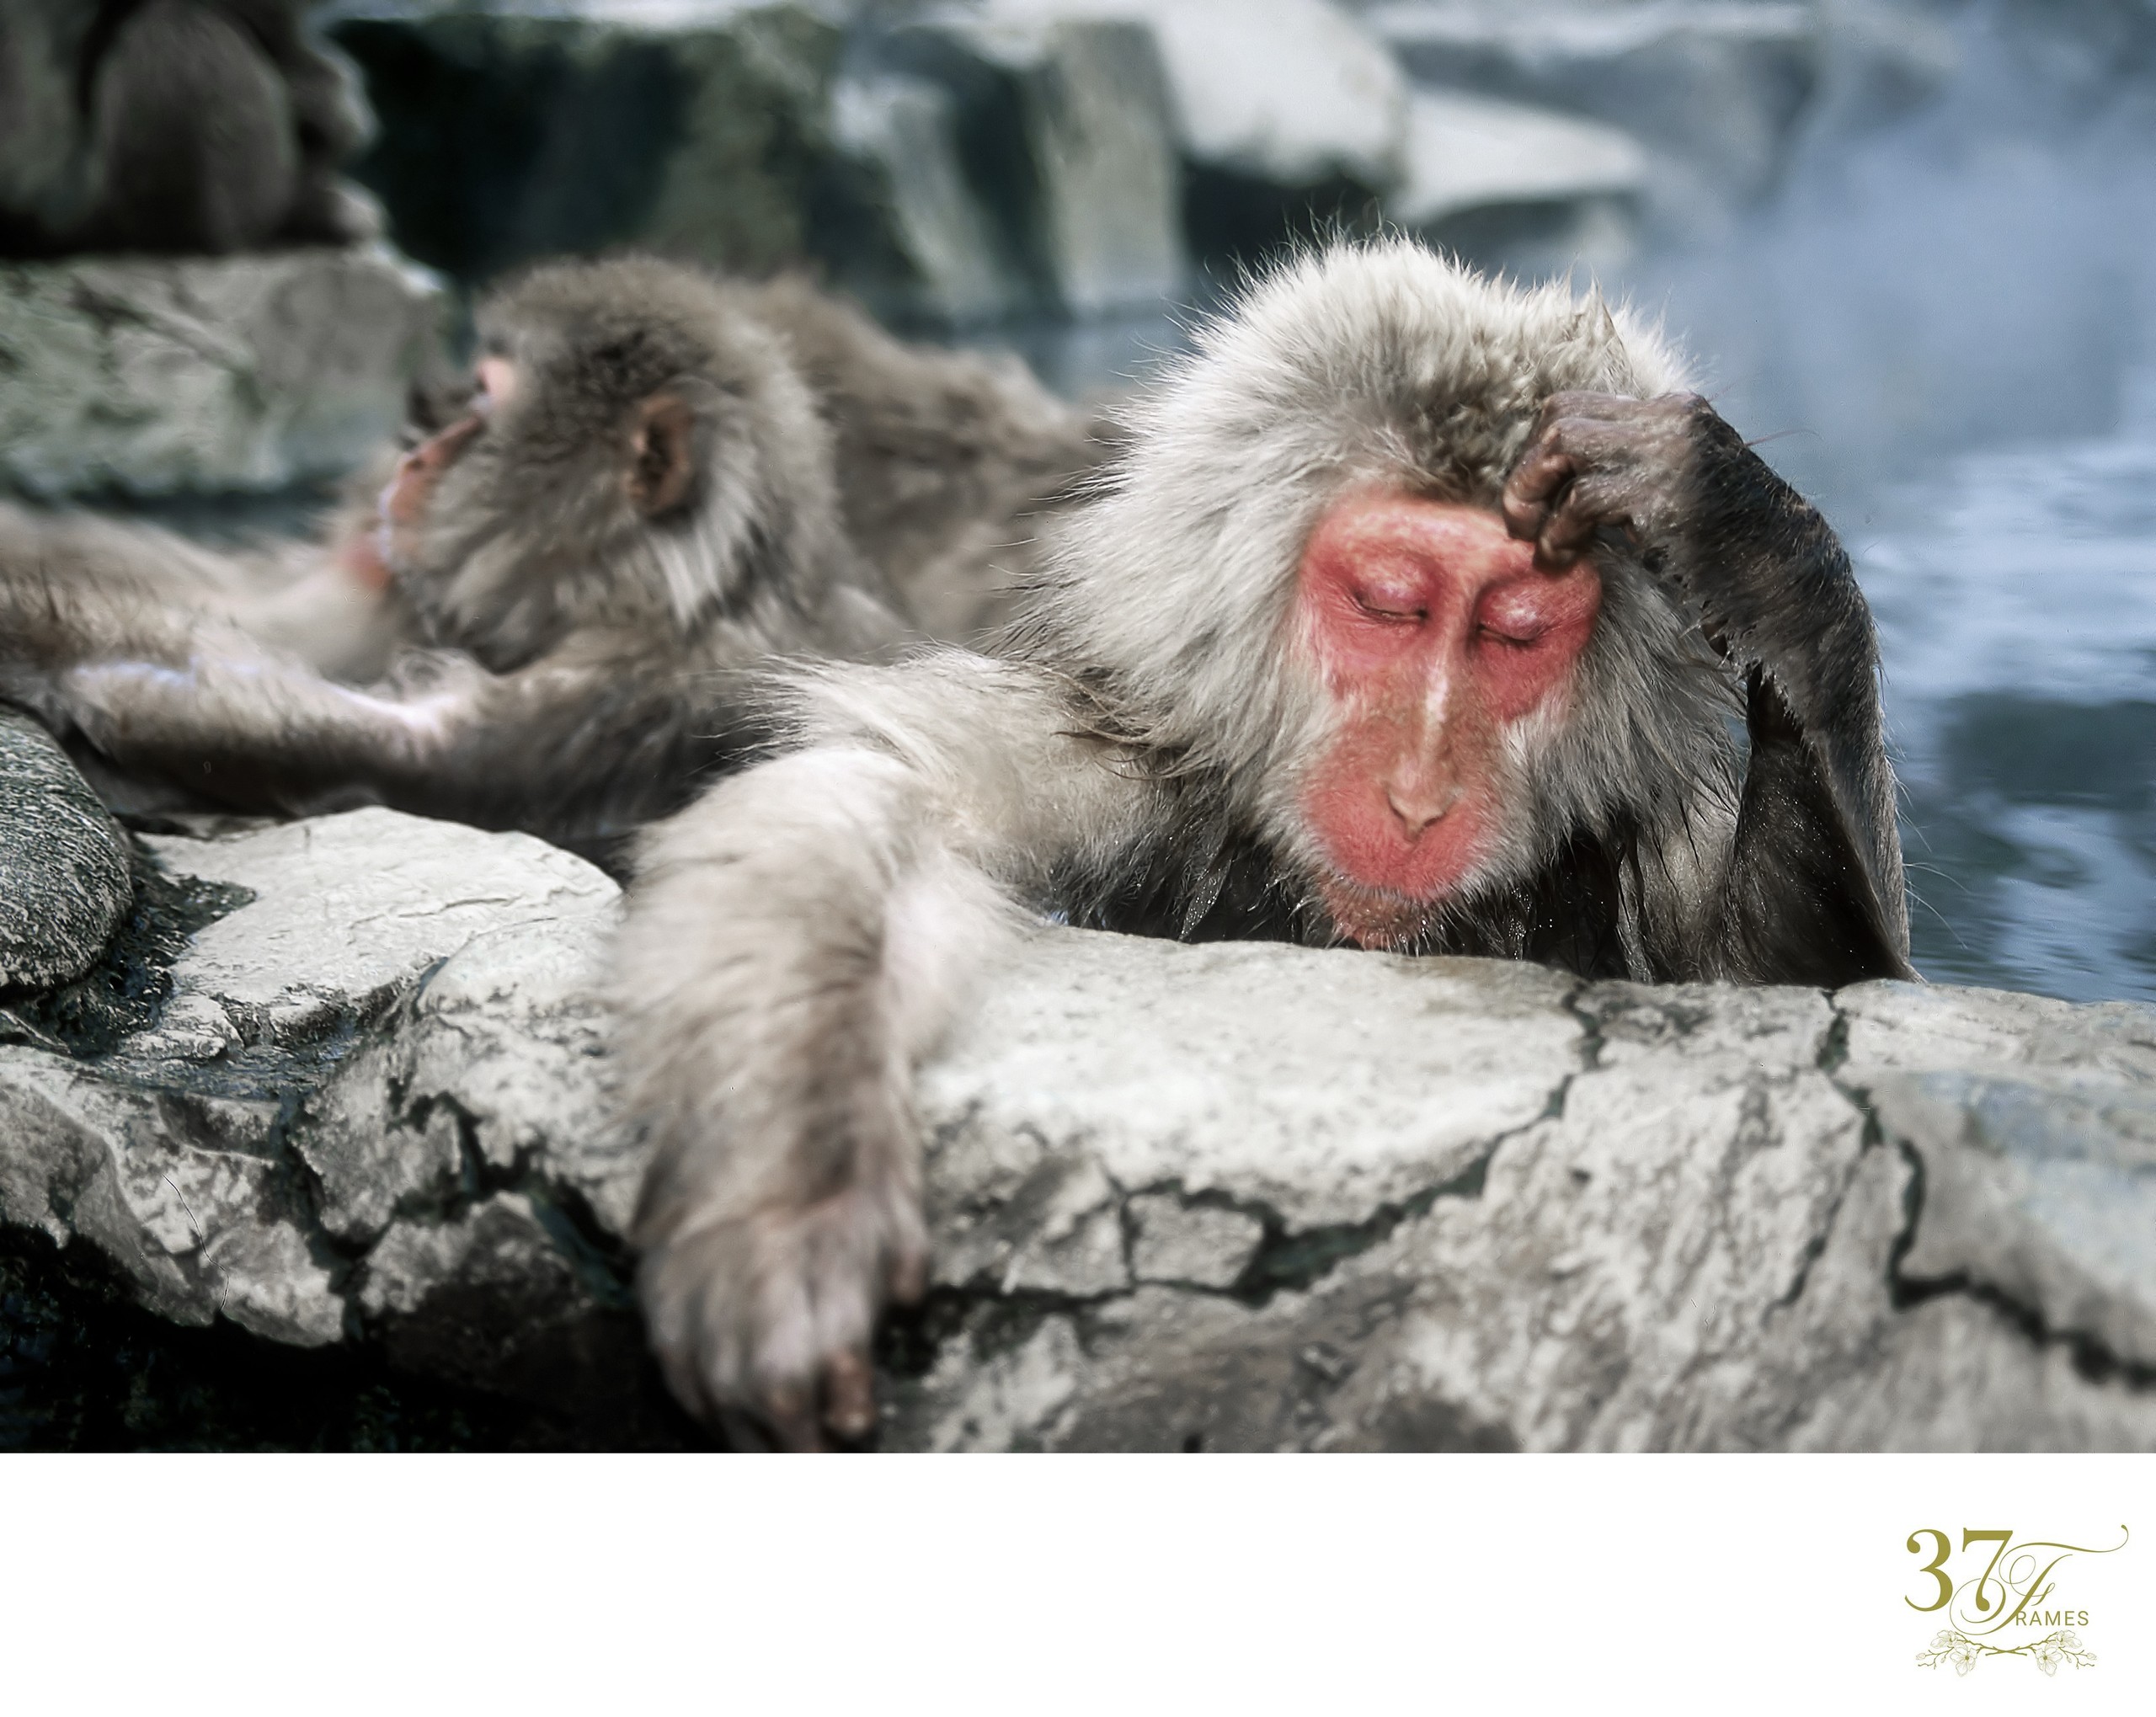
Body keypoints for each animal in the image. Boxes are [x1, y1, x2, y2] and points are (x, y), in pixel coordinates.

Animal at [0, 255, 1105, 864]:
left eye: (482, 407)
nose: (411, 451)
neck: (655, 595)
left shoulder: (651, 691)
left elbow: (407, 746)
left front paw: (32, 640)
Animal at [609, 238, 1916, 1448]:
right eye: (1389, 602)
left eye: (1514, 629)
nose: (1419, 790)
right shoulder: (1097, 775)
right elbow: (869, 793)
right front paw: (787, 1198)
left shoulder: (1647, 846)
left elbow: (1787, 977)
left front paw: (1754, 545)